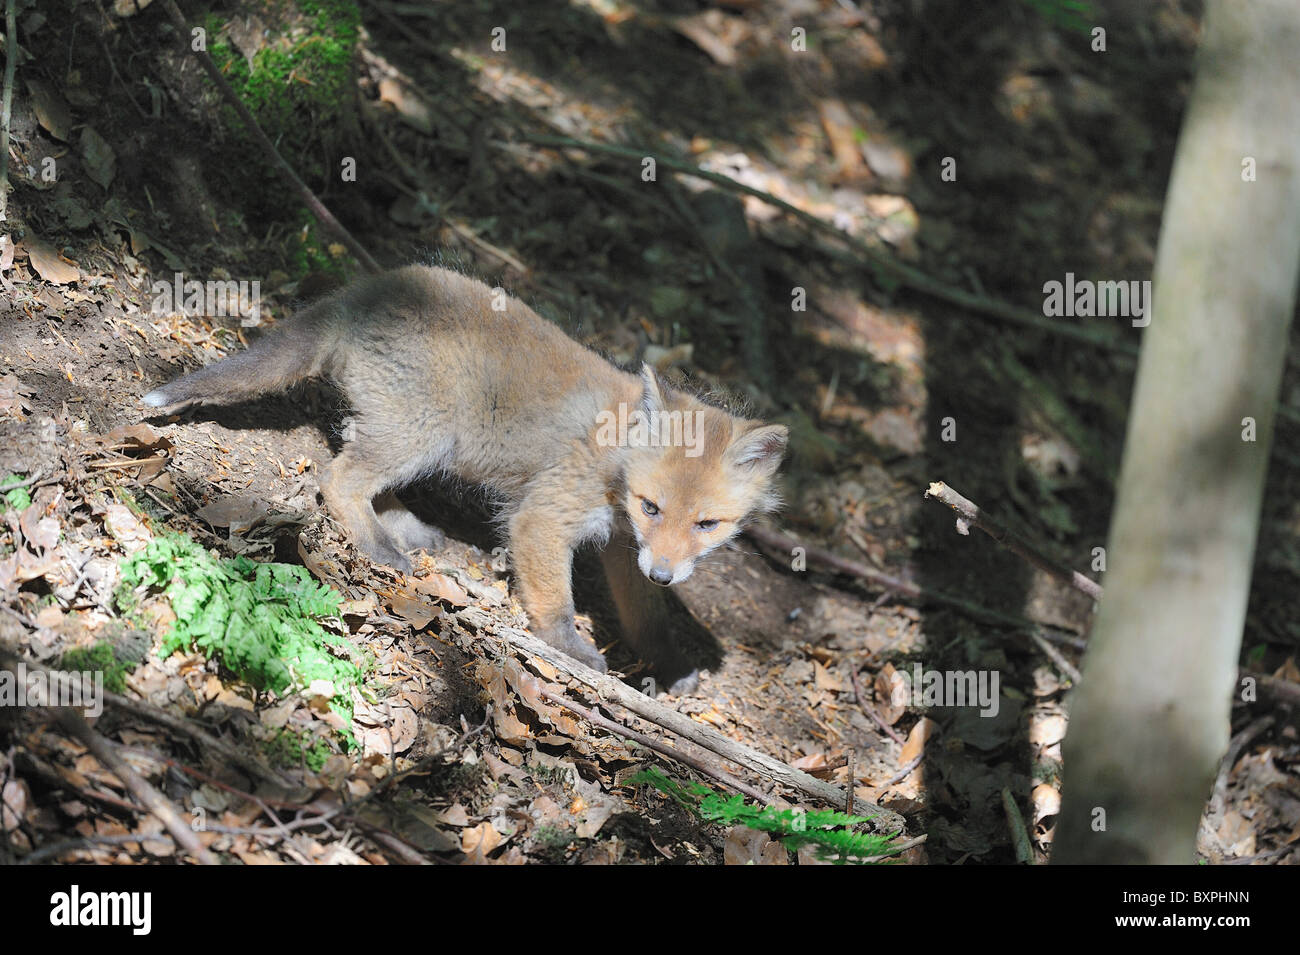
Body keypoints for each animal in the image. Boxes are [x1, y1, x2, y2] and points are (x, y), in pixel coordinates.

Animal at [141, 265, 787, 692]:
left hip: (416, 435)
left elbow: (647, 619)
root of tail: (366, 288)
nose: (665, 573)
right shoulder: (544, 518)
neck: (616, 453)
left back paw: (407, 531)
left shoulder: (627, 549)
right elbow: (555, 604)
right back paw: (380, 546)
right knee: (338, 479)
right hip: (426, 432)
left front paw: (669, 665)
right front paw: (571, 651)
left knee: (365, 475)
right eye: (652, 505)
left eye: (707, 524)